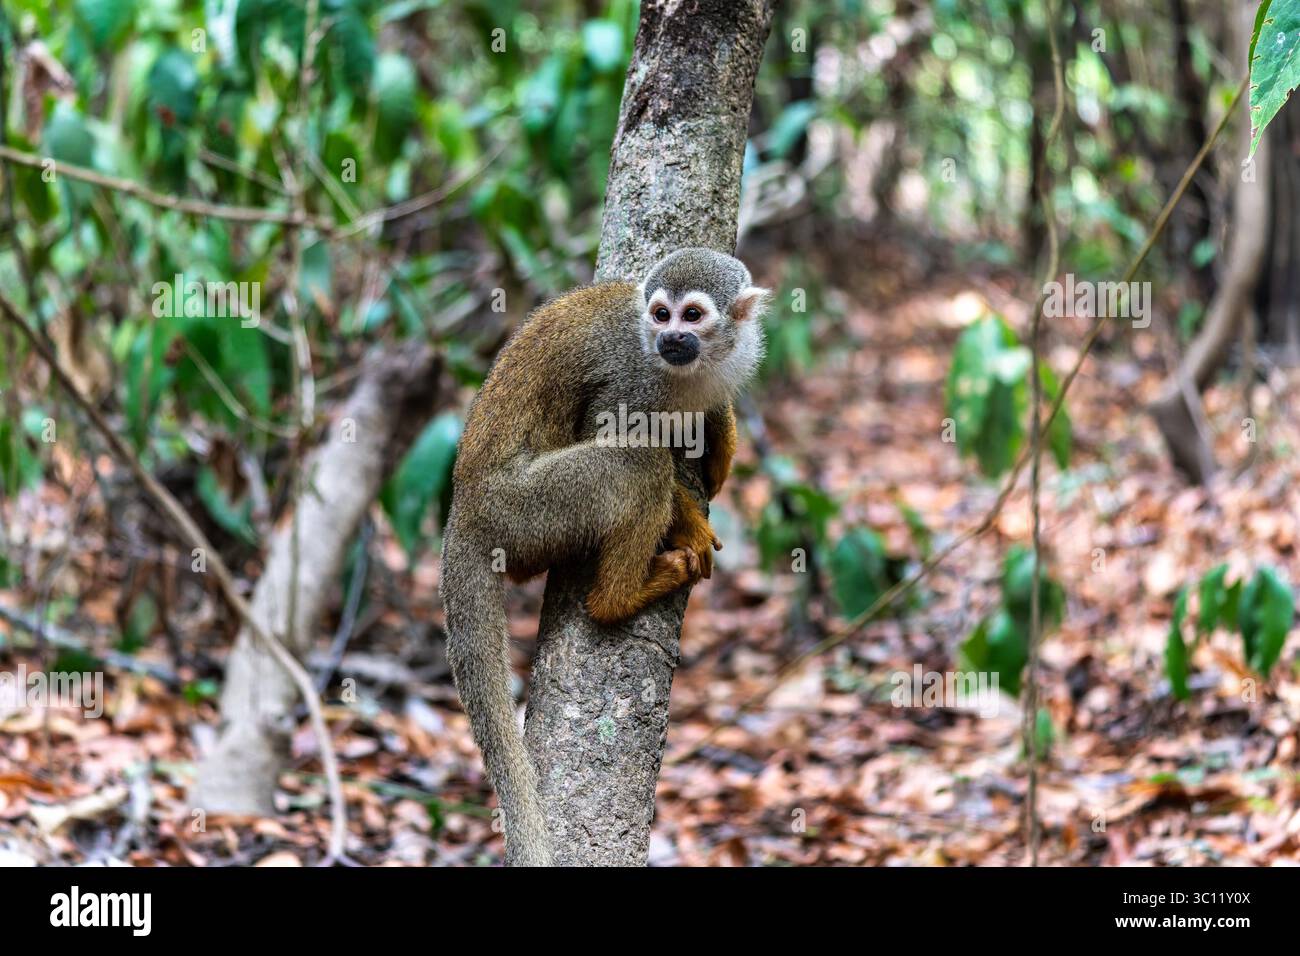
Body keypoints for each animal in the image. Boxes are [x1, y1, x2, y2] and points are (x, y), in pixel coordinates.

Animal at [440, 248, 767, 866]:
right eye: (661, 314)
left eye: (691, 315)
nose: (670, 338)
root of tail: (465, 509)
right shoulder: (632, 378)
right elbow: (609, 429)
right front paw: (687, 518)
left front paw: (722, 427)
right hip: (529, 507)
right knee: (637, 463)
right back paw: (622, 596)